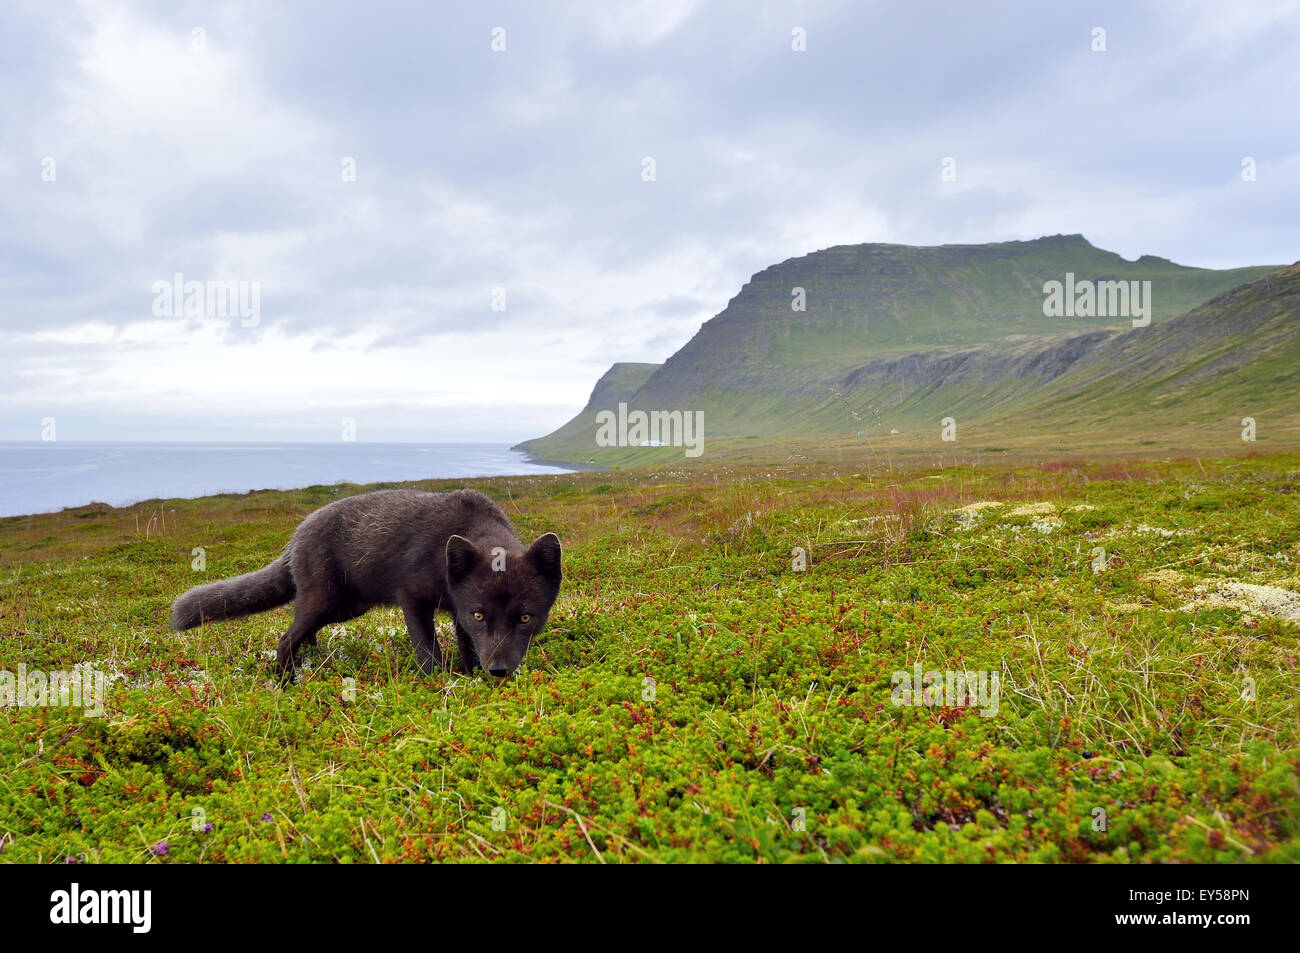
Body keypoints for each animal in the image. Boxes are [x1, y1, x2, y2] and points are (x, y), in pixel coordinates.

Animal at [169, 489, 562, 679]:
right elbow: (428, 650)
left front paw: (470, 677)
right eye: (482, 615)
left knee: (306, 634)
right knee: (285, 638)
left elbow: (468, 647)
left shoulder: (456, 608)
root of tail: (296, 535)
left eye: (525, 618)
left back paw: (312, 659)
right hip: (321, 600)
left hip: (347, 609)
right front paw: (438, 684)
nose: (498, 673)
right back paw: (284, 681)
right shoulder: (413, 599)